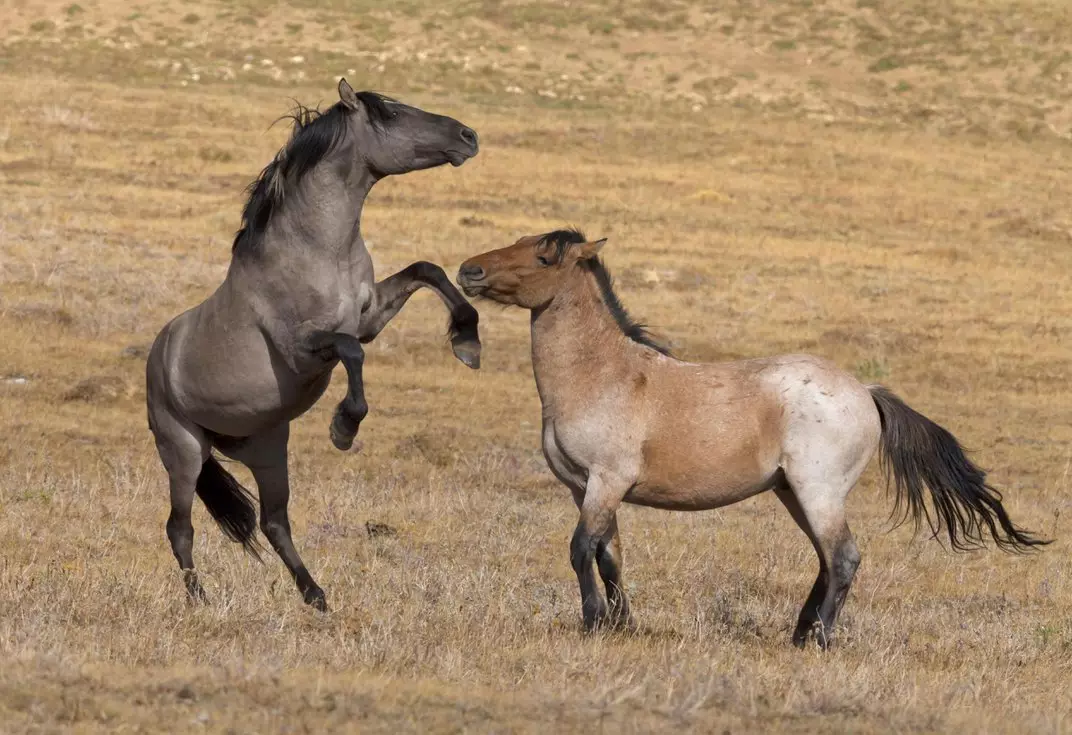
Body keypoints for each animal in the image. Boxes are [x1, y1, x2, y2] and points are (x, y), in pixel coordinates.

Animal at [144, 79, 480, 617]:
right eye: (392, 114)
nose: (468, 136)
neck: (319, 249)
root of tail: (158, 358)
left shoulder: (370, 316)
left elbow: (428, 270)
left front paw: (468, 342)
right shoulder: (305, 347)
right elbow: (352, 353)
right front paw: (344, 426)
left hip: (267, 450)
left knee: (273, 522)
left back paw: (315, 594)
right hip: (184, 451)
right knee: (180, 528)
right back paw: (200, 599)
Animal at [456, 231, 1050, 651]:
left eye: (544, 257)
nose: (469, 270)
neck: (602, 375)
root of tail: (866, 391)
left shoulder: (607, 481)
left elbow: (582, 550)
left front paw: (594, 622)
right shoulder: (585, 488)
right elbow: (610, 555)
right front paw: (622, 624)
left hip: (818, 492)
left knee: (844, 558)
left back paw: (820, 641)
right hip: (793, 494)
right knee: (826, 561)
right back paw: (800, 634)